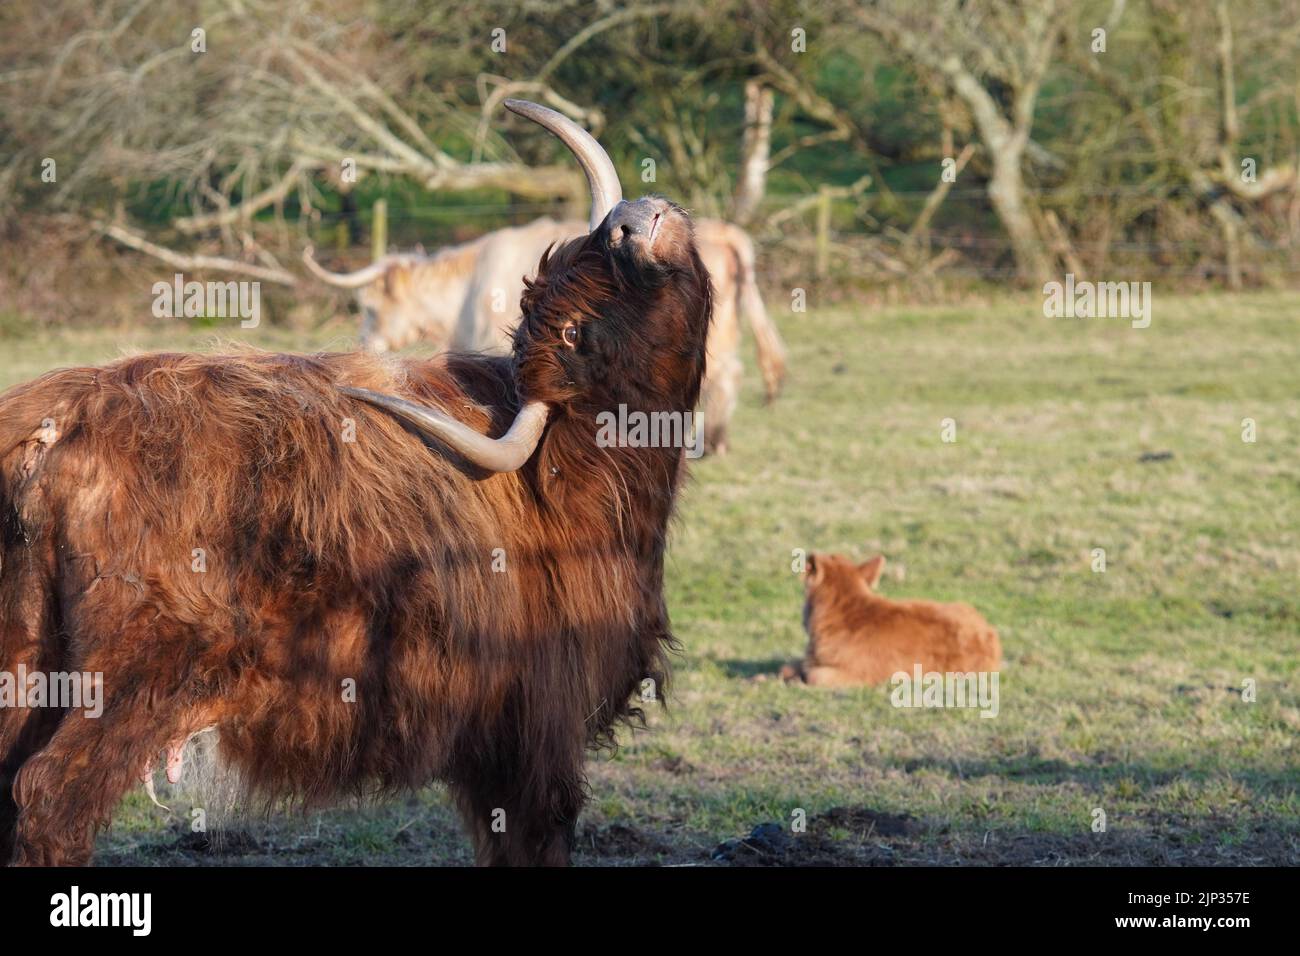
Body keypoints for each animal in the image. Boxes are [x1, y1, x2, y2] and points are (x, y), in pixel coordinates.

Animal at [0, 100, 711, 866]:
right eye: (578, 328)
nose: (629, 221)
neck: (580, 475)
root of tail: (58, 418)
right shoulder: (538, 721)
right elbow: (535, 835)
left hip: (24, 660)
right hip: (135, 675)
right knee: (50, 794)